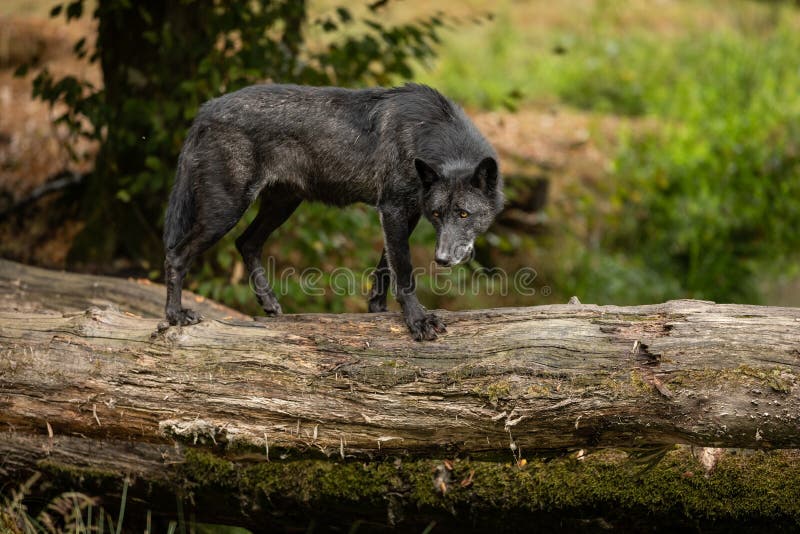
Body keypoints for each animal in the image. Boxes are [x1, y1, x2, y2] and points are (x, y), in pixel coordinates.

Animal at [163, 83, 503, 341]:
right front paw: (418, 321)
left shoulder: (404, 214)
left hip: (281, 206)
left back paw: (268, 302)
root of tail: (206, 109)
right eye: (437, 214)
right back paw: (175, 315)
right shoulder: (393, 209)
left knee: (246, 243)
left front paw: (377, 311)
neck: (427, 132)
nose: (442, 259)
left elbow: (384, 268)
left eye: (463, 214)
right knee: (177, 255)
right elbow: (404, 271)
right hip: (226, 210)